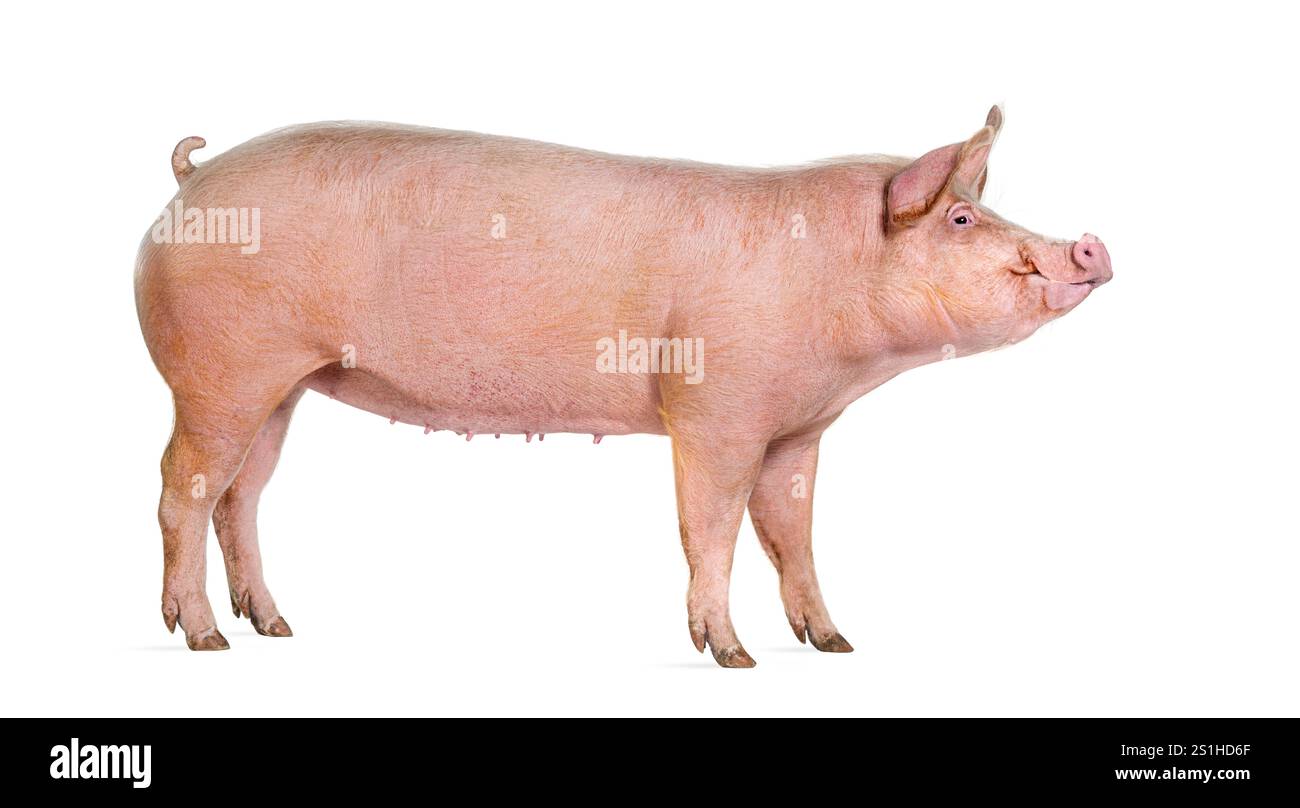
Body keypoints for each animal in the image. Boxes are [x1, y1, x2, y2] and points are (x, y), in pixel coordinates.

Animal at [135, 106, 1111, 666]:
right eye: (961, 218)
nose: (1089, 245)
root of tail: (192, 181)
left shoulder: (797, 429)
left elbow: (791, 535)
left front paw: (836, 645)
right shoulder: (714, 408)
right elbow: (710, 530)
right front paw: (735, 659)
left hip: (285, 384)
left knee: (240, 497)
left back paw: (276, 630)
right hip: (219, 369)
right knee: (182, 490)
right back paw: (206, 640)